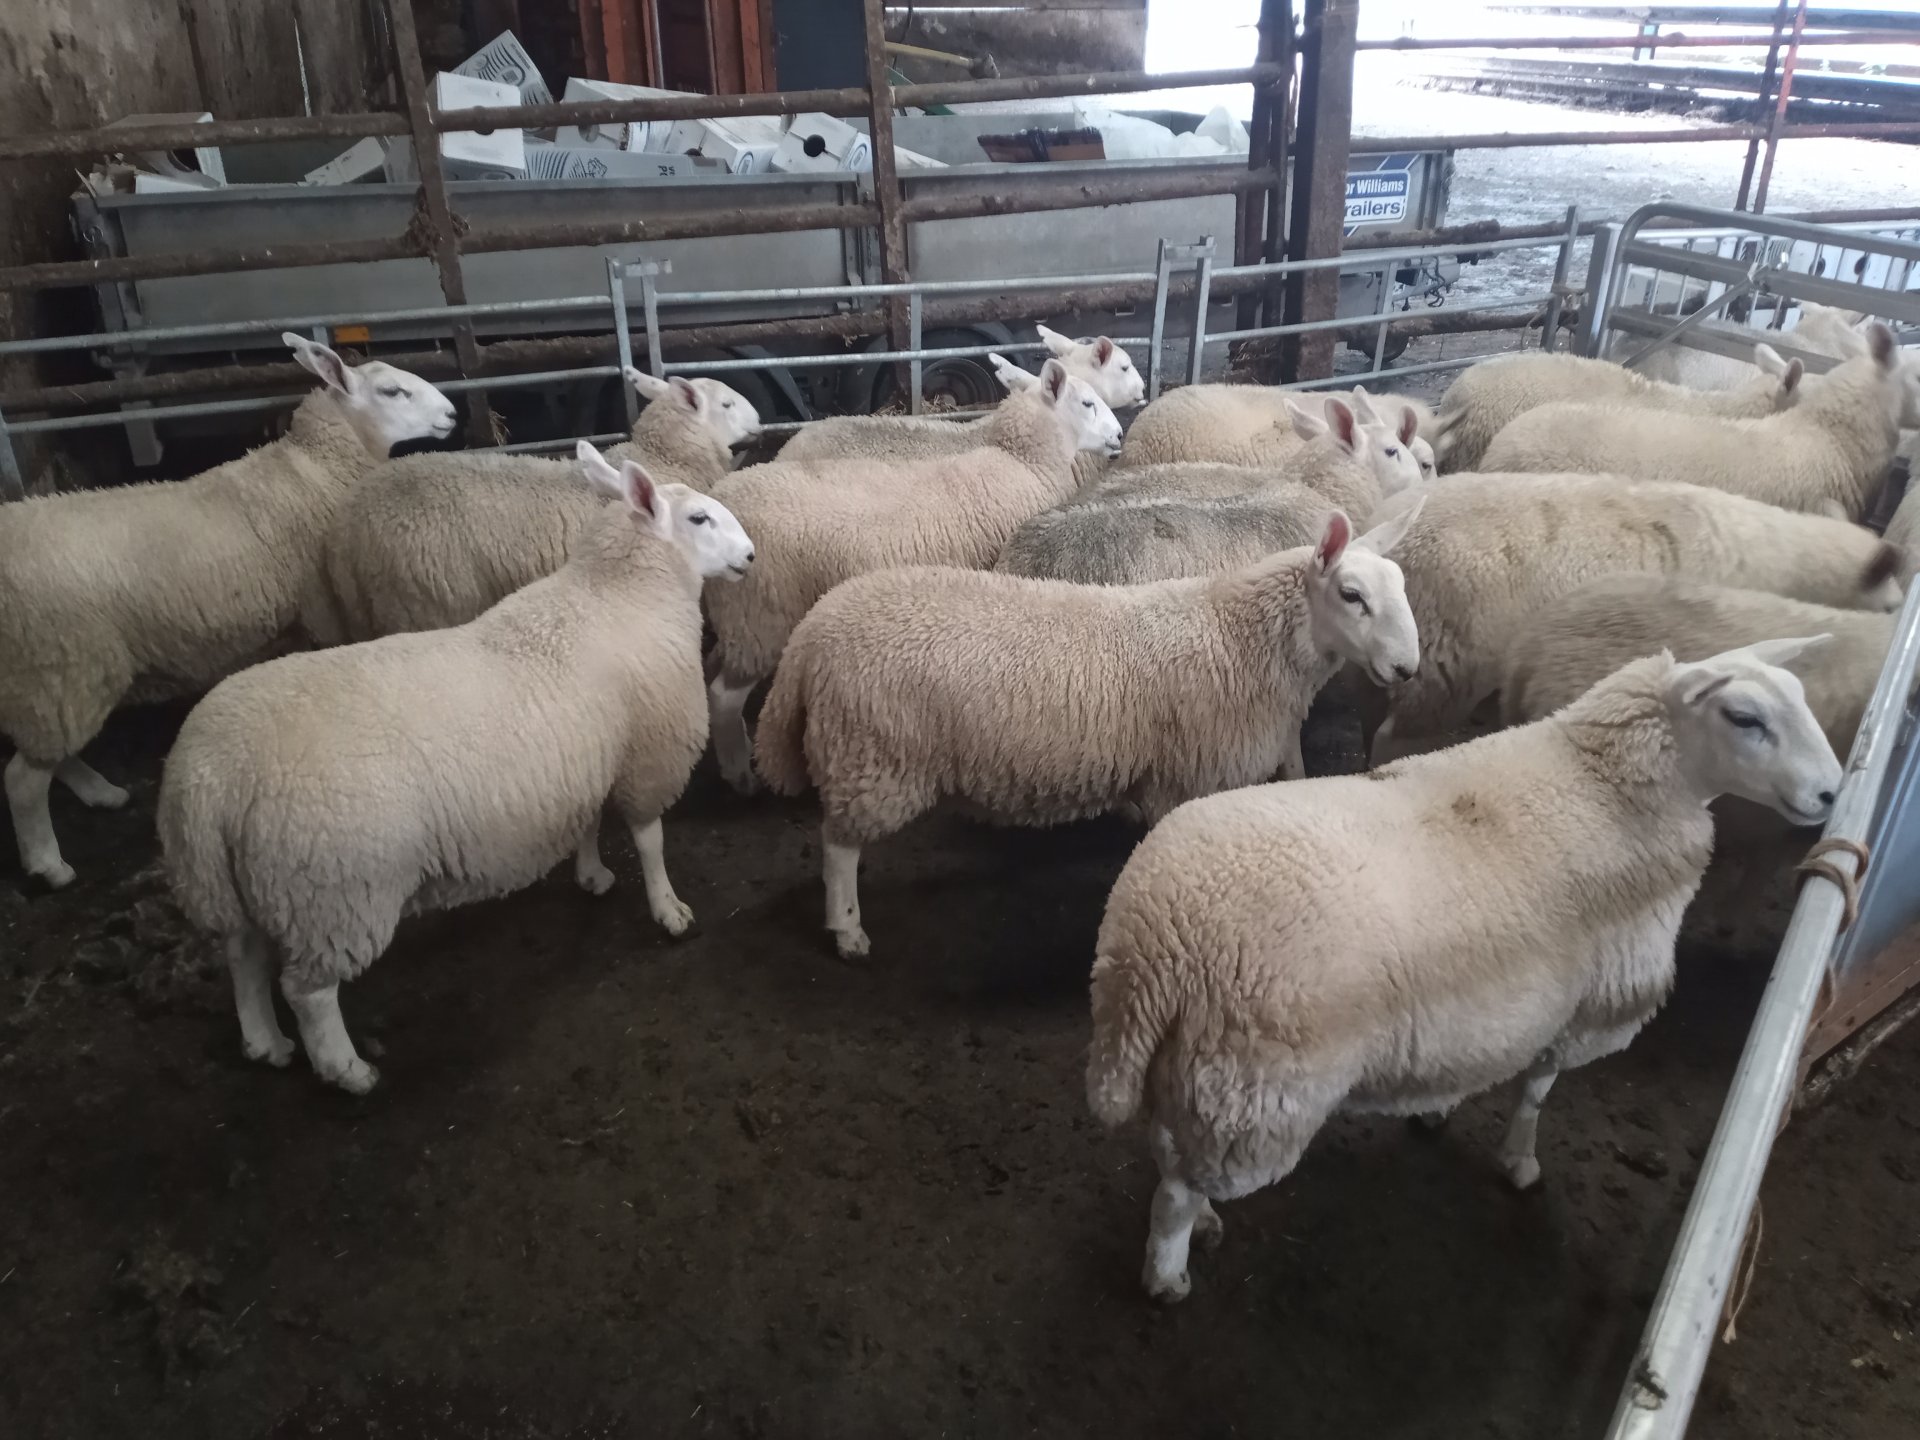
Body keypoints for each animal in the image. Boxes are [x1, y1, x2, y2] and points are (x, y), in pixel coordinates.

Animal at [0, 334, 456, 890]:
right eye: (392, 391)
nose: (452, 414)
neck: (317, 470)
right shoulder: (321, 607)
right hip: (58, 666)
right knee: (22, 779)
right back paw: (49, 863)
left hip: (52, 680)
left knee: (48, 755)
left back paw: (101, 793)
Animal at [157, 444, 754, 1094]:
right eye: (699, 518)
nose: (751, 555)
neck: (618, 595)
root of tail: (207, 781)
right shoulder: (648, 754)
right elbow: (649, 842)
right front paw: (668, 910)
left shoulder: (584, 759)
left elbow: (588, 822)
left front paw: (592, 874)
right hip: (330, 890)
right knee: (308, 992)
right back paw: (348, 1070)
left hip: (241, 884)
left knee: (242, 955)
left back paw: (264, 1042)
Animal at [705, 358, 1121, 792]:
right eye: (1088, 402)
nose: (1119, 435)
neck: (1022, 462)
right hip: (761, 616)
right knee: (722, 695)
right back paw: (739, 772)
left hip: (738, 618)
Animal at [753, 504, 1424, 958]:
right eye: (1352, 594)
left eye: (1402, 588)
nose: (1406, 668)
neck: (1236, 636)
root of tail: (812, 634)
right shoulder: (1184, 777)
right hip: (875, 755)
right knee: (837, 843)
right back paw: (847, 928)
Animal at [1087, 638, 1841, 1302]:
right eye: (1744, 718)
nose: (1833, 793)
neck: (1608, 788)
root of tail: (1151, 936)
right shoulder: (1584, 1004)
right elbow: (1537, 1090)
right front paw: (1520, 1163)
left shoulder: (1490, 1000)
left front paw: (1437, 1110)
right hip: (1254, 1085)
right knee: (1175, 1192)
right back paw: (1168, 1277)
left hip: (1195, 1070)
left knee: (1170, 1151)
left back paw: (1204, 1222)